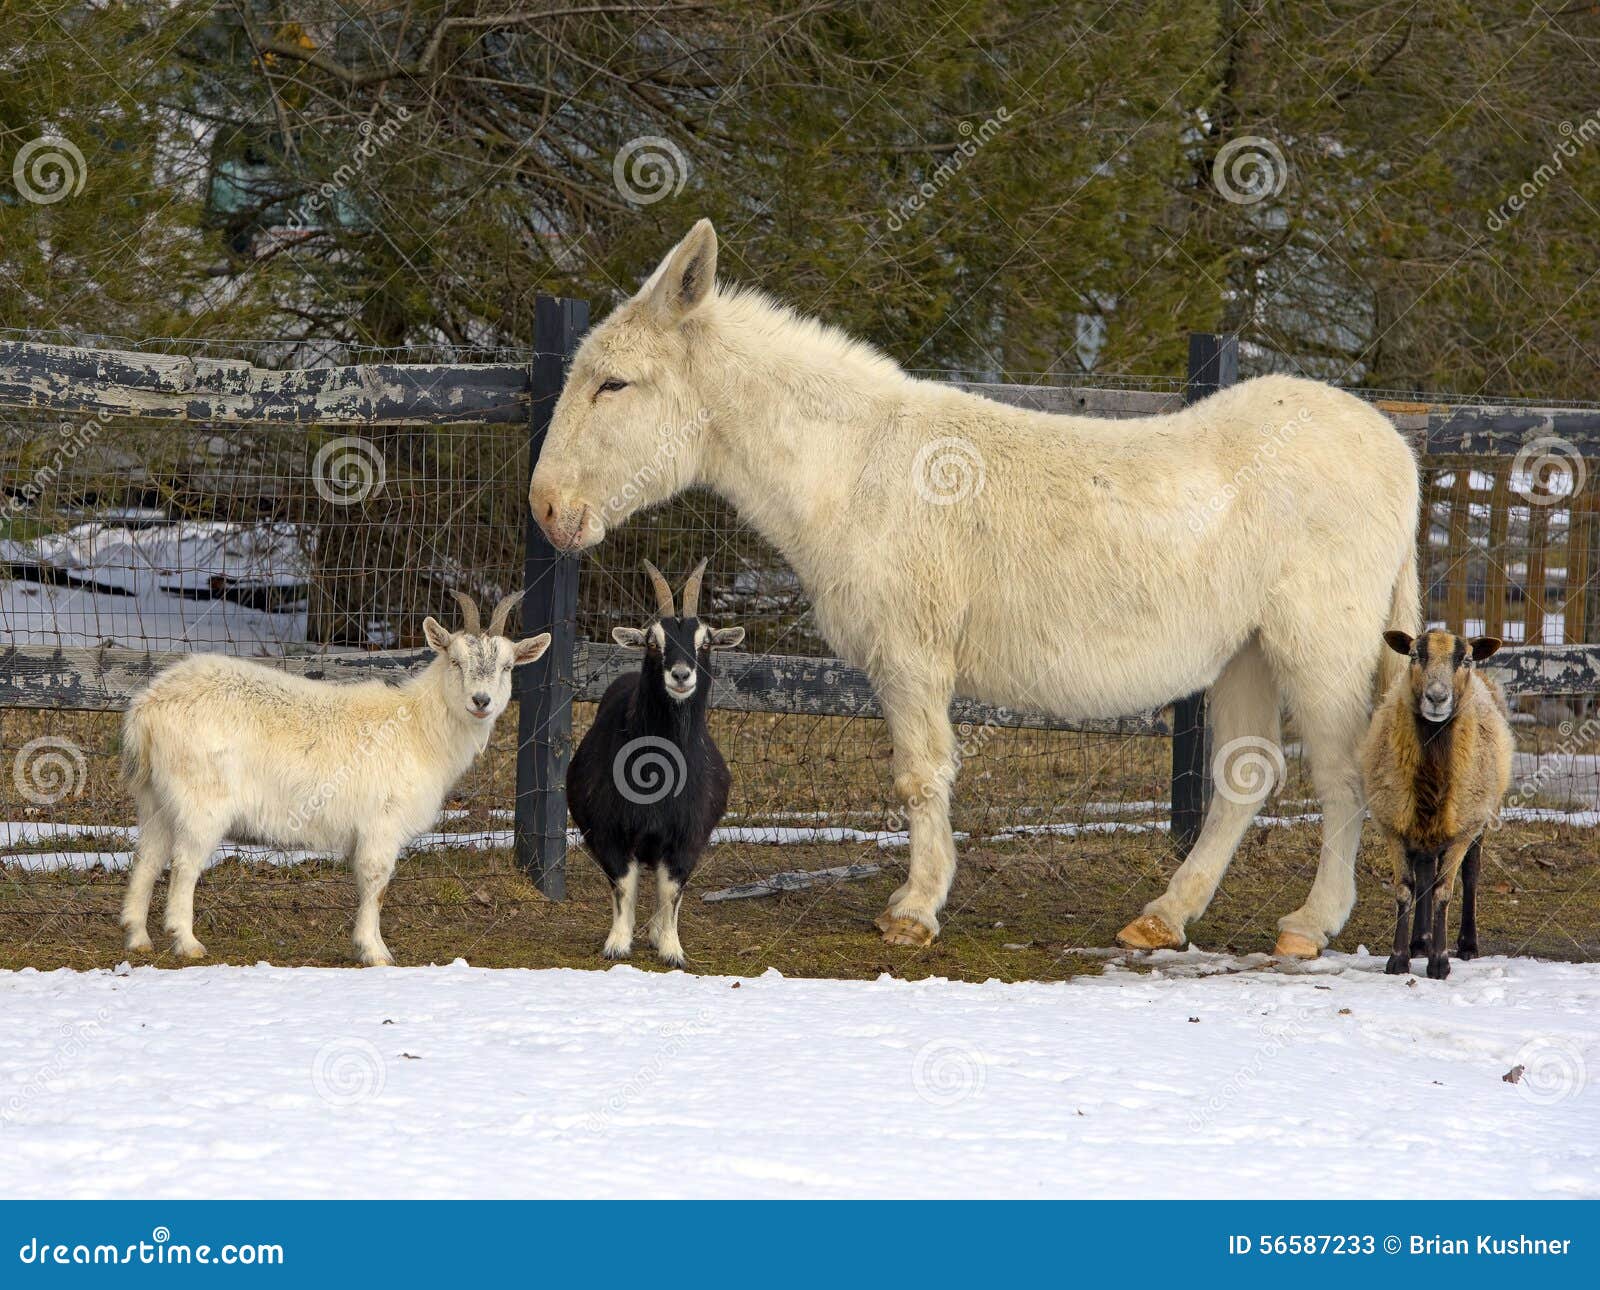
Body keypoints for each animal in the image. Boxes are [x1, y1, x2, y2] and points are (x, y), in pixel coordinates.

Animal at [119, 591, 549, 965]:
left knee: (148, 856)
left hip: (155, 797)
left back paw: (138, 937)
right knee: (184, 863)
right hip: (202, 800)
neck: (418, 727)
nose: (481, 701)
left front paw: (373, 947)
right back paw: (186, 941)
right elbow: (376, 883)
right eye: (456, 661)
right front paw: (374, 952)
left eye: (508, 666)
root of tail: (149, 706)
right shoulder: (382, 823)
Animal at [566, 559, 742, 967]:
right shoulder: (608, 831)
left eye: (705, 642)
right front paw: (617, 943)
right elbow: (623, 886)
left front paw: (671, 949)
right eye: (652, 641)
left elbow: (671, 892)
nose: (680, 675)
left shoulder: (687, 837)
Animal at [1361, 629, 1513, 979]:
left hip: (1478, 818)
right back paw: (1420, 941)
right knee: (1425, 873)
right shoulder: (1394, 827)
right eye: (1415, 656)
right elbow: (1405, 889)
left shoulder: (1462, 831)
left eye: (1466, 660)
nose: (1436, 698)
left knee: (1470, 874)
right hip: (1423, 826)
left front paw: (1440, 963)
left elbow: (1445, 891)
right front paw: (1398, 960)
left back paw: (1467, 945)